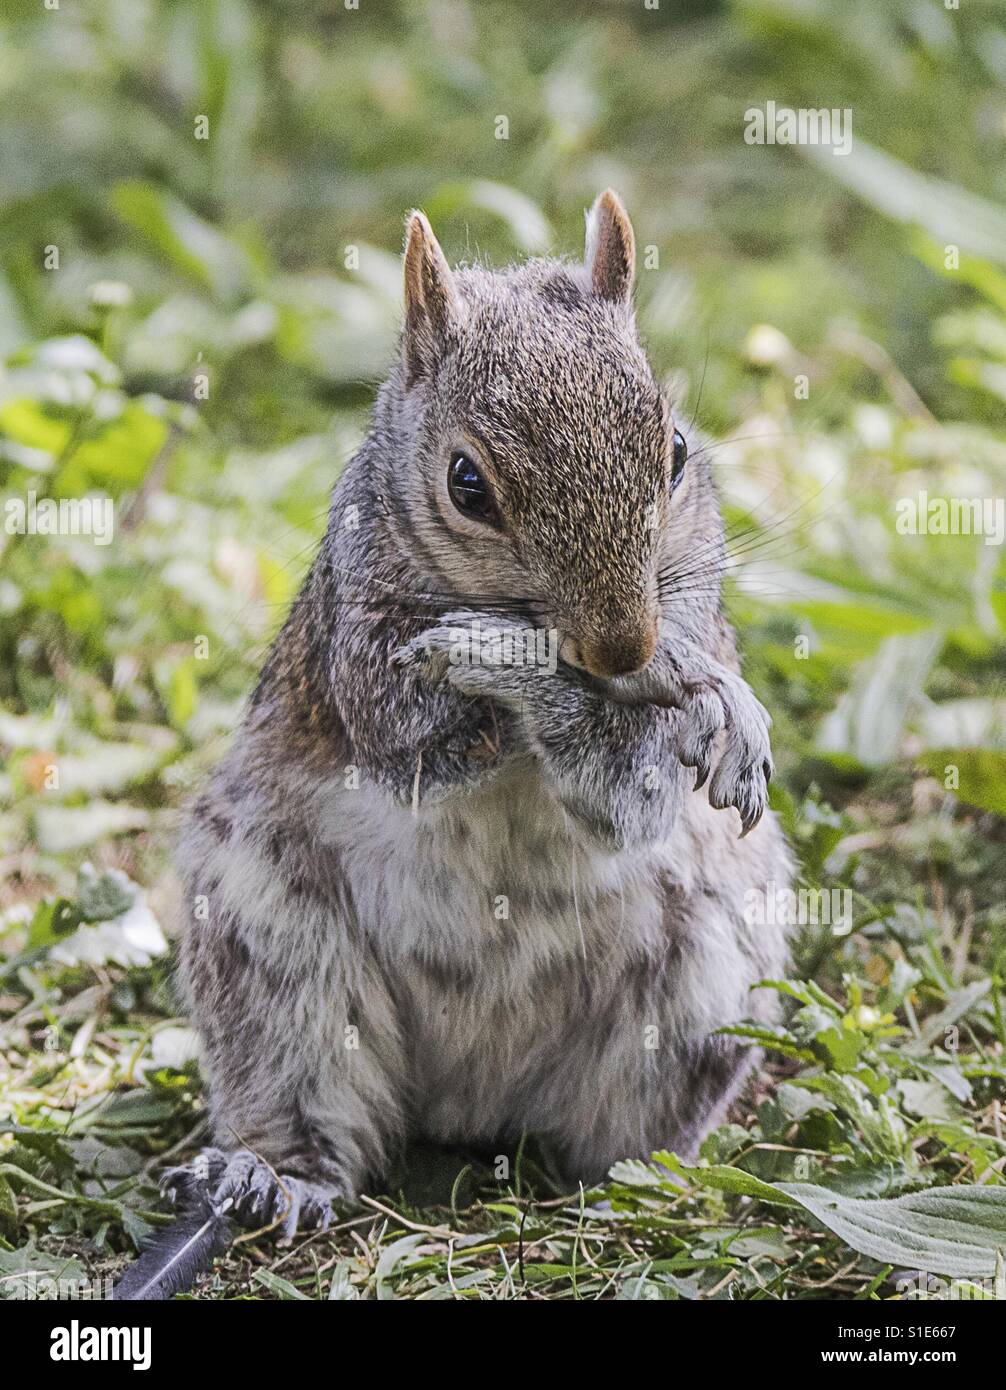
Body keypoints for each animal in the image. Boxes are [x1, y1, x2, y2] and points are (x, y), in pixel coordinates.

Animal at [168, 190, 792, 1239]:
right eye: (467, 485)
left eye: (674, 453)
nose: (622, 646)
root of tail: (471, 1099)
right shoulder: (362, 661)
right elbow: (416, 739)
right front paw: (525, 658)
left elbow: (629, 802)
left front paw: (709, 688)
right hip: (268, 939)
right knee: (302, 1091)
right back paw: (274, 1173)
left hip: (705, 972)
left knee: (624, 1129)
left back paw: (640, 1186)